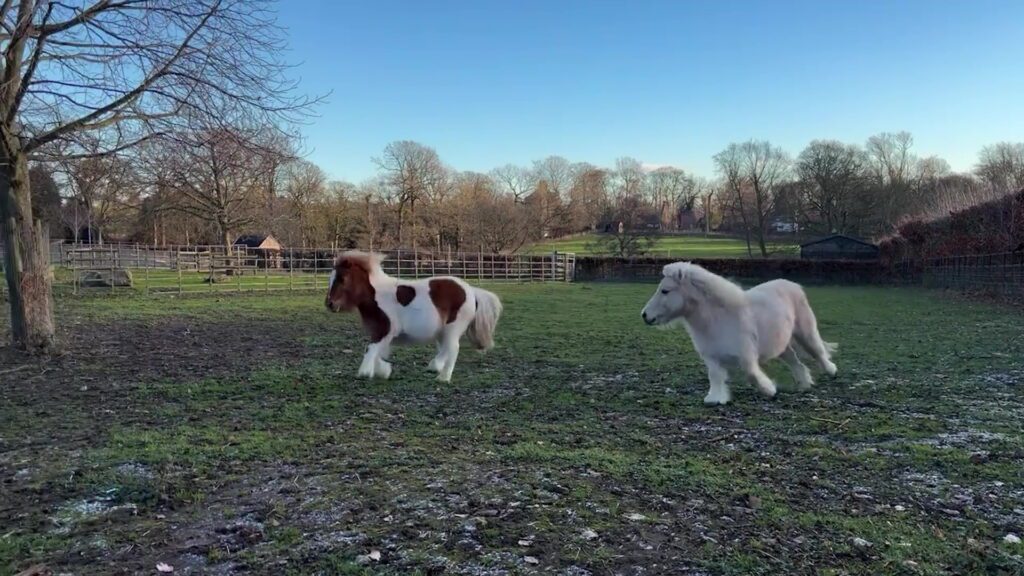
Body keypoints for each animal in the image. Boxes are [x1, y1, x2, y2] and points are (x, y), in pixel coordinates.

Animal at [325, 251, 503, 382]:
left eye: (342, 278)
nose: (329, 304)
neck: (376, 296)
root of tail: (471, 290)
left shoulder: (385, 330)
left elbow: (371, 350)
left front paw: (365, 372)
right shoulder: (383, 334)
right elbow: (378, 353)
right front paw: (385, 371)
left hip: (453, 328)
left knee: (453, 348)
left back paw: (443, 377)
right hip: (442, 331)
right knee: (445, 348)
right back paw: (435, 366)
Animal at [640, 262, 837, 405]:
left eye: (665, 290)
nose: (645, 315)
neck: (719, 319)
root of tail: (793, 285)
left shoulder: (746, 355)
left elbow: (752, 374)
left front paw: (769, 390)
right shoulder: (711, 357)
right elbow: (715, 377)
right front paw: (715, 398)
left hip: (806, 334)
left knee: (818, 352)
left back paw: (831, 371)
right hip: (782, 347)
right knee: (796, 362)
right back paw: (804, 385)